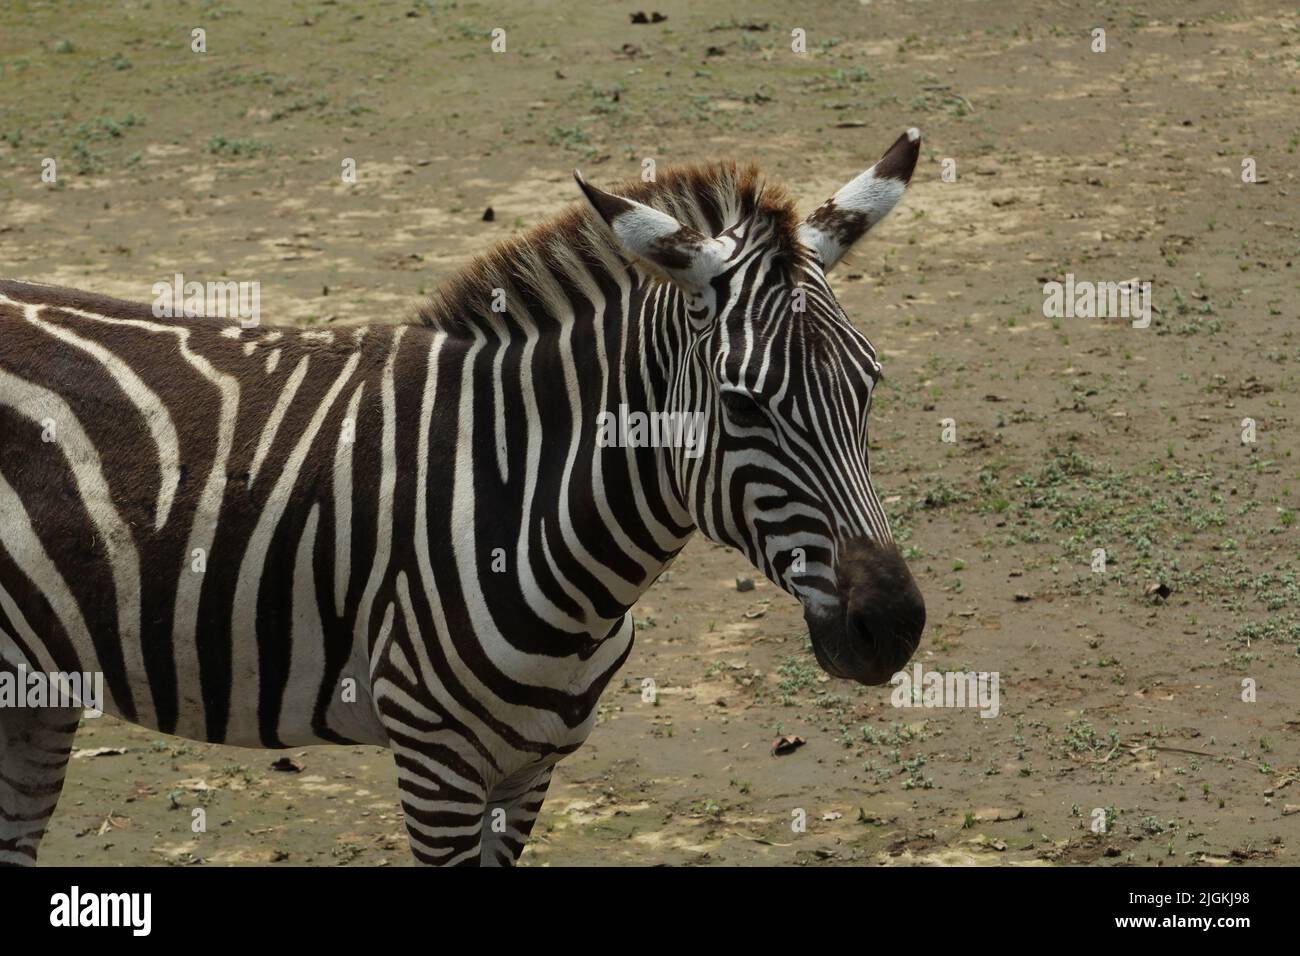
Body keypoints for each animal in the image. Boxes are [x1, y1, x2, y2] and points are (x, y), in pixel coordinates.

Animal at [0, 128, 926, 866]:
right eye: (741, 406)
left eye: (871, 386)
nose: (893, 627)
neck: (526, 499)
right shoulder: (435, 759)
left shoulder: (530, 769)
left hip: (34, 689)